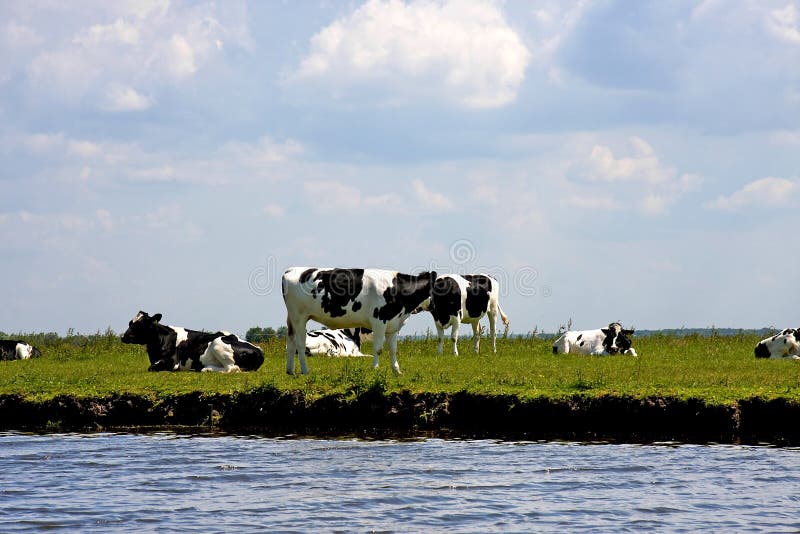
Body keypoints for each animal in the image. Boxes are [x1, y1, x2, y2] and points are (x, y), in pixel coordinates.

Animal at [121, 311, 264, 372]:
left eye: (140, 325)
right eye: (130, 323)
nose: (123, 337)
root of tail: (259, 350)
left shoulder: (173, 362)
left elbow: (151, 368)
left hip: (218, 343)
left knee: (232, 368)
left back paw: (206, 369)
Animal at [282, 267, 437, 375]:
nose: (434, 306)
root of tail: (291, 270)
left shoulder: (392, 325)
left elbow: (393, 350)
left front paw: (397, 371)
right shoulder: (379, 321)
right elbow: (378, 349)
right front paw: (374, 368)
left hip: (292, 318)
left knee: (290, 340)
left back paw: (290, 371)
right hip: (299, 317)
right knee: (299, 343)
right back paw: (305, 370)